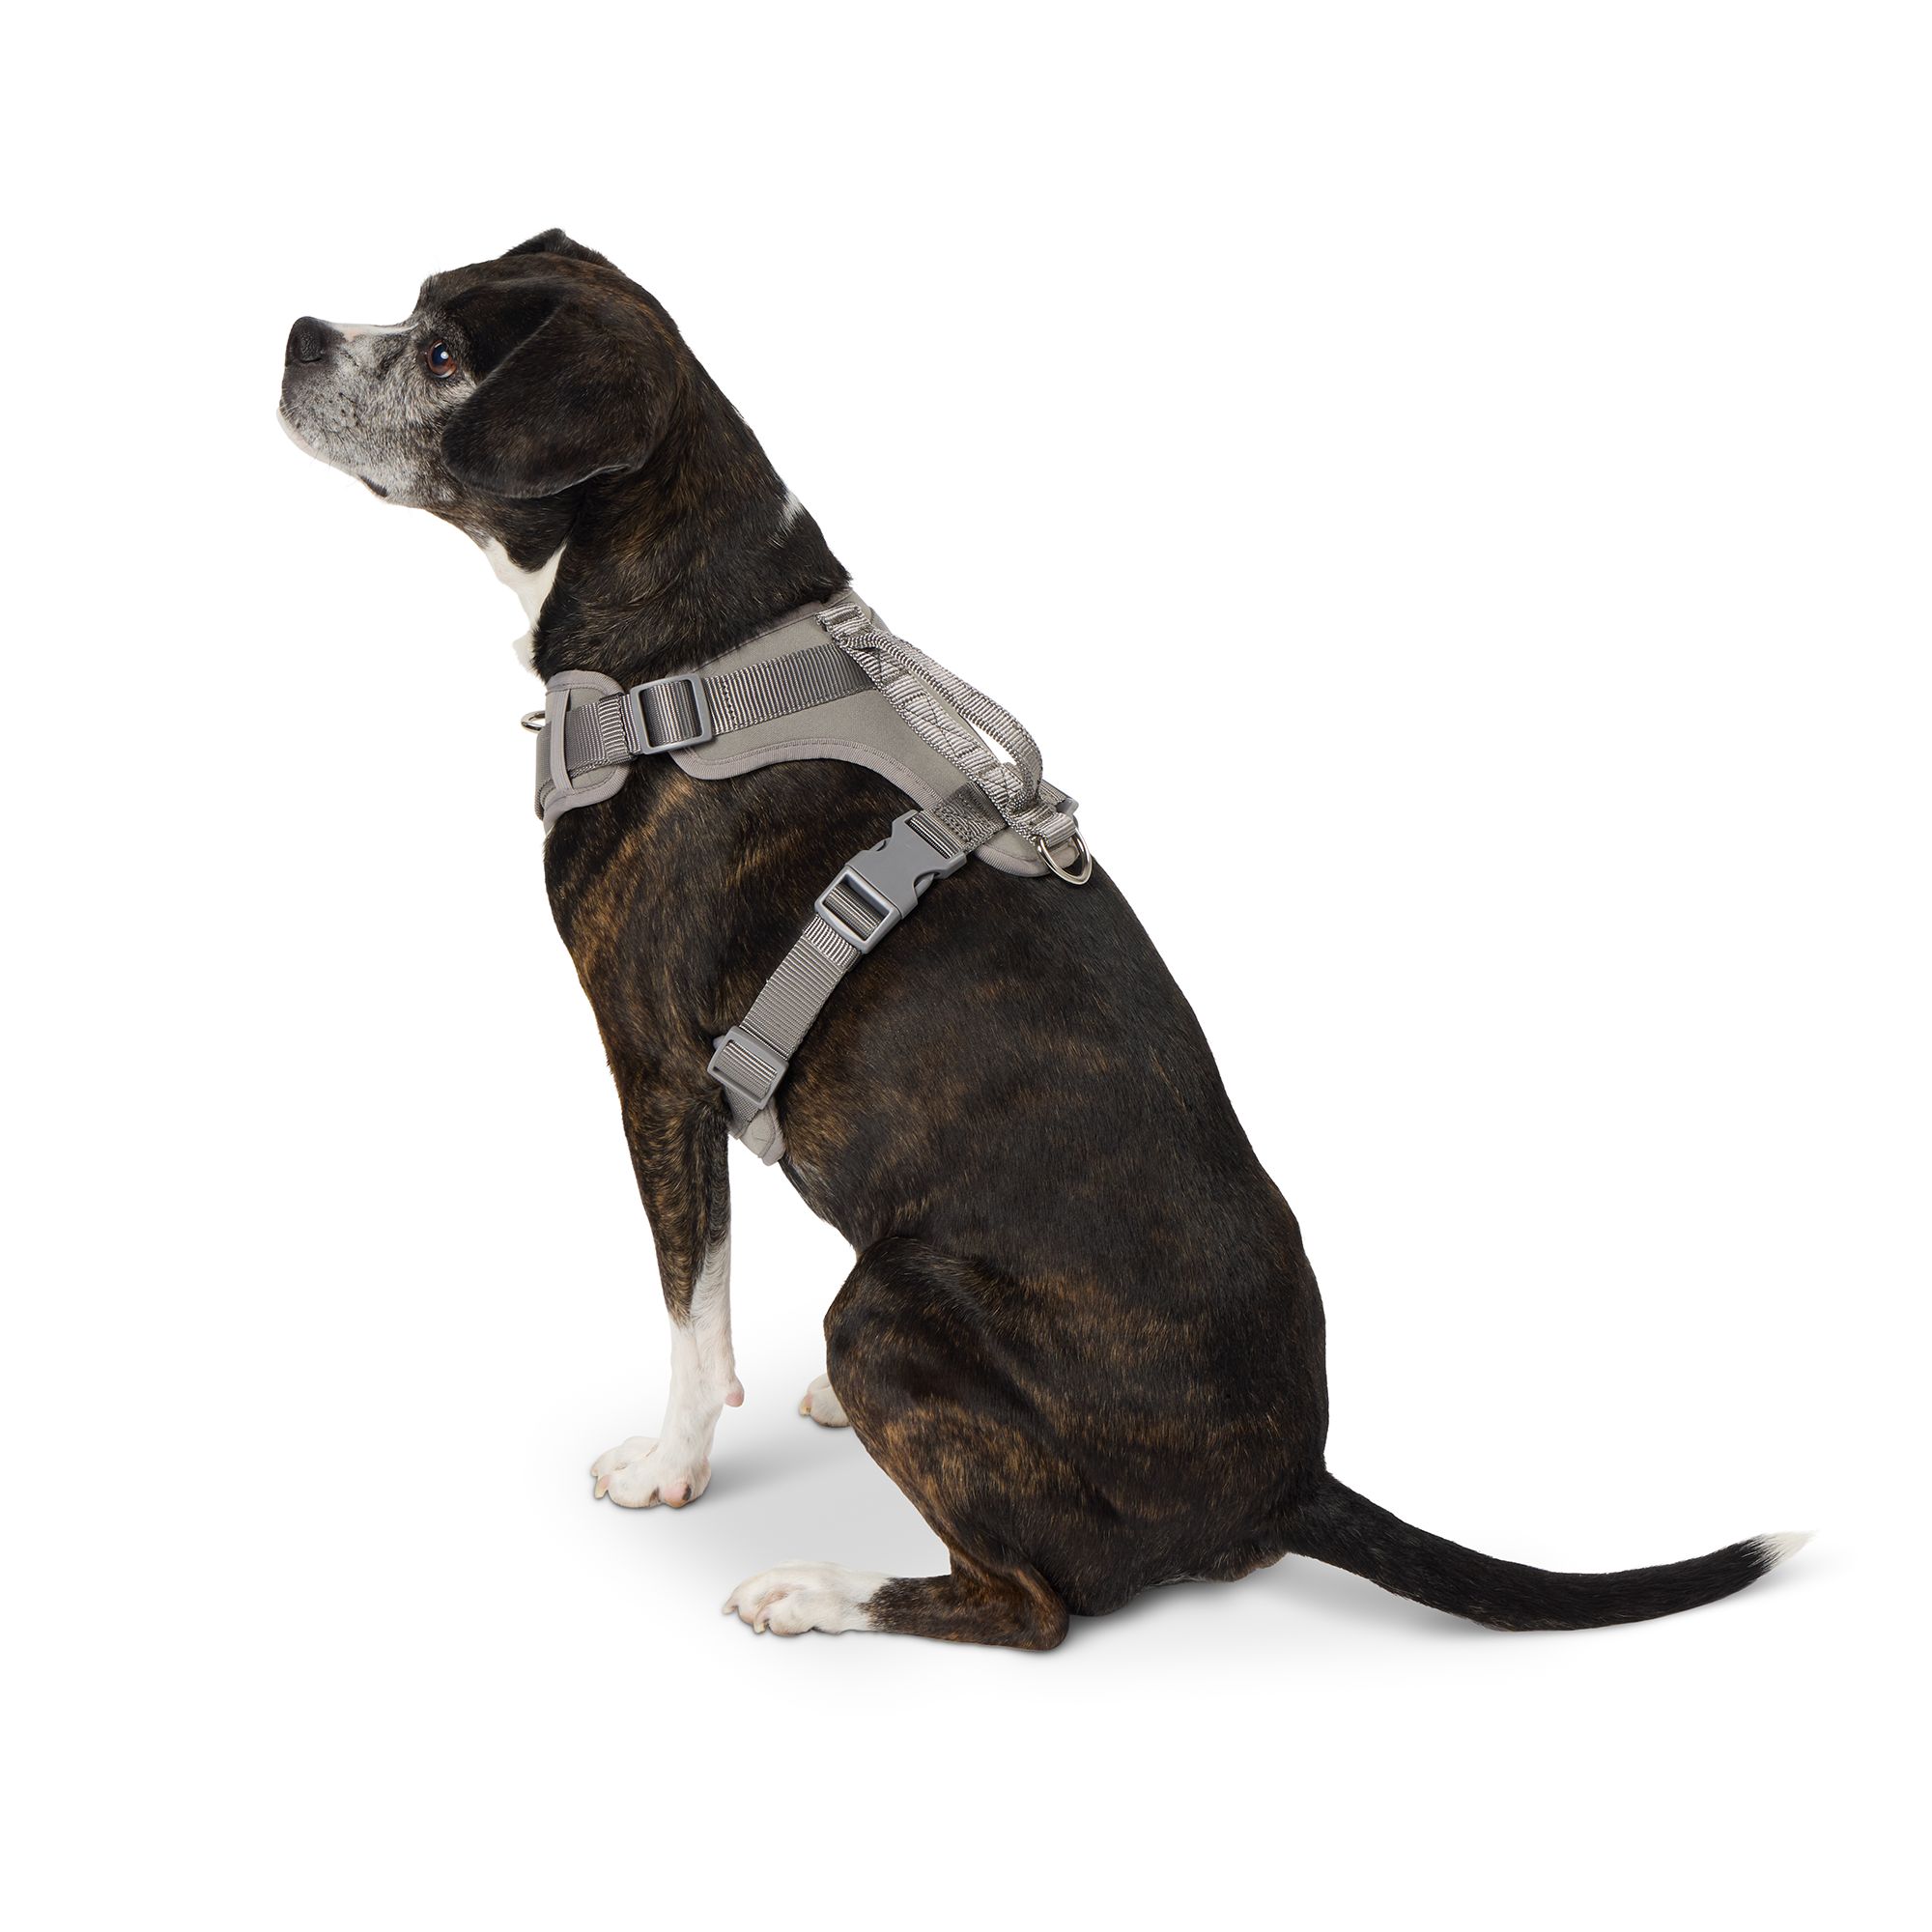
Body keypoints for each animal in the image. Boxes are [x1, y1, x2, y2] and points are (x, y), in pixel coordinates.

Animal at [280, 230, 1806, 1645]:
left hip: (886, 1304)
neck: (698, 649)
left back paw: (819, 1590)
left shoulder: (653, 1068)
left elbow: (688, 1302)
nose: (297, 332)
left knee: (1030, 1603)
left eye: (442, 357)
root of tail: (1288, 1484)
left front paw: (669, 1466)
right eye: (415, 308)